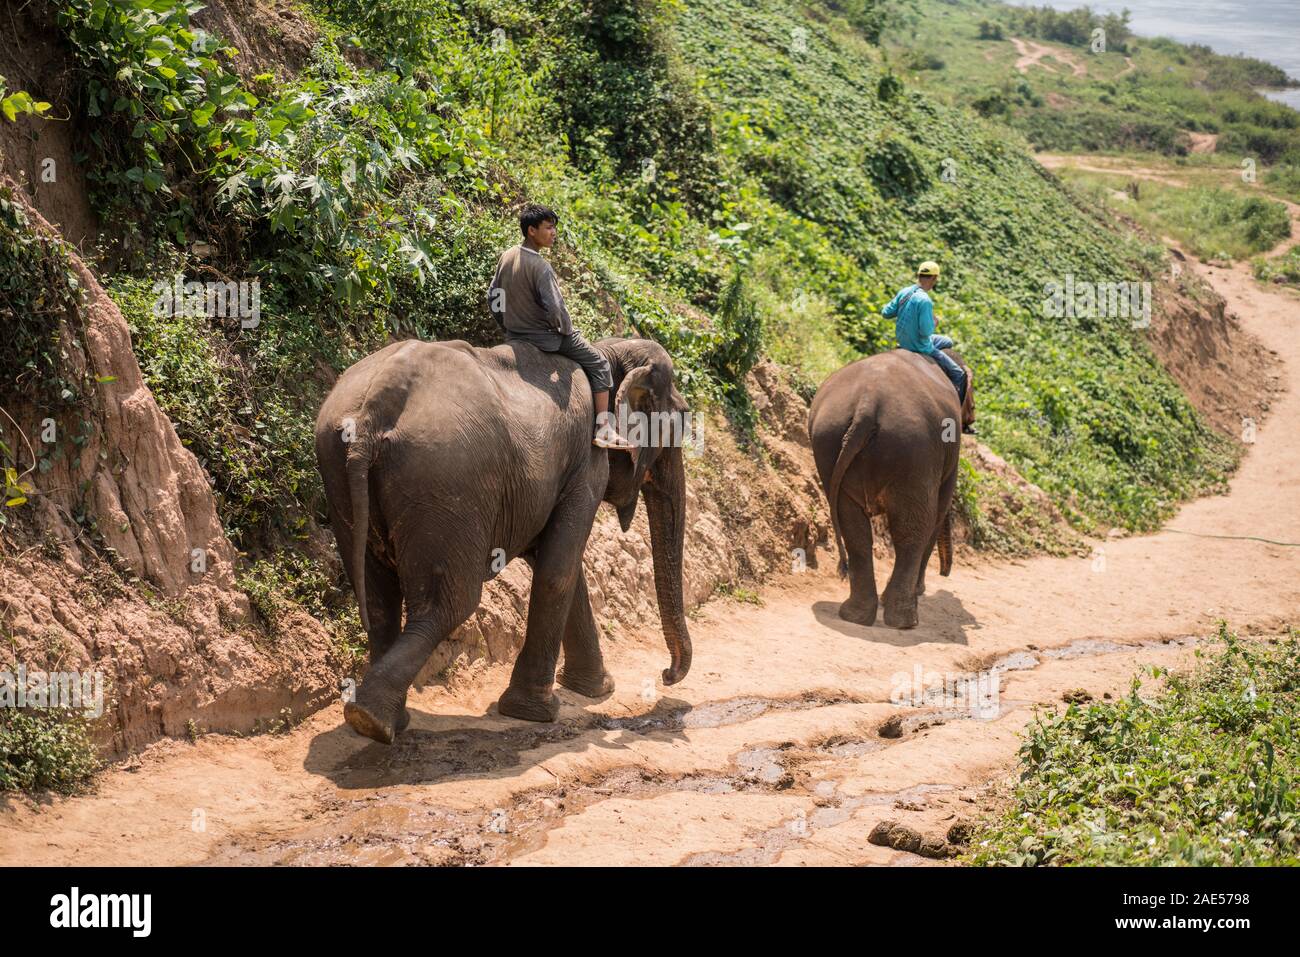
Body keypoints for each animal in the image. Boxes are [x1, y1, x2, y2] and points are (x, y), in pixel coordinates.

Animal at [314, 335, 692, 743]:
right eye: (682, 419)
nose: (666, 675)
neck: (609, 353)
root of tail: (376, 405)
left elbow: (559, 563)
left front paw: (595, 689)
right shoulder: (588, 461)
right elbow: (558, 570)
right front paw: (537, 712)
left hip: (340, 470)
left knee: (378, 599)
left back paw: (378, 720)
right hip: (445, 484)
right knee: (449, 605)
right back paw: (373, 719)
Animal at [807, 348, 974, 629]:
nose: (945, 573)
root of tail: (867, 405)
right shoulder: (950, 454)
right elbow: (939, 512)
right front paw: (919, 591)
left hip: (829, 441)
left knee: (853, 527)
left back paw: (855, 616)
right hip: (913, 450)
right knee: (914, 529)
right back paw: (904, 621)